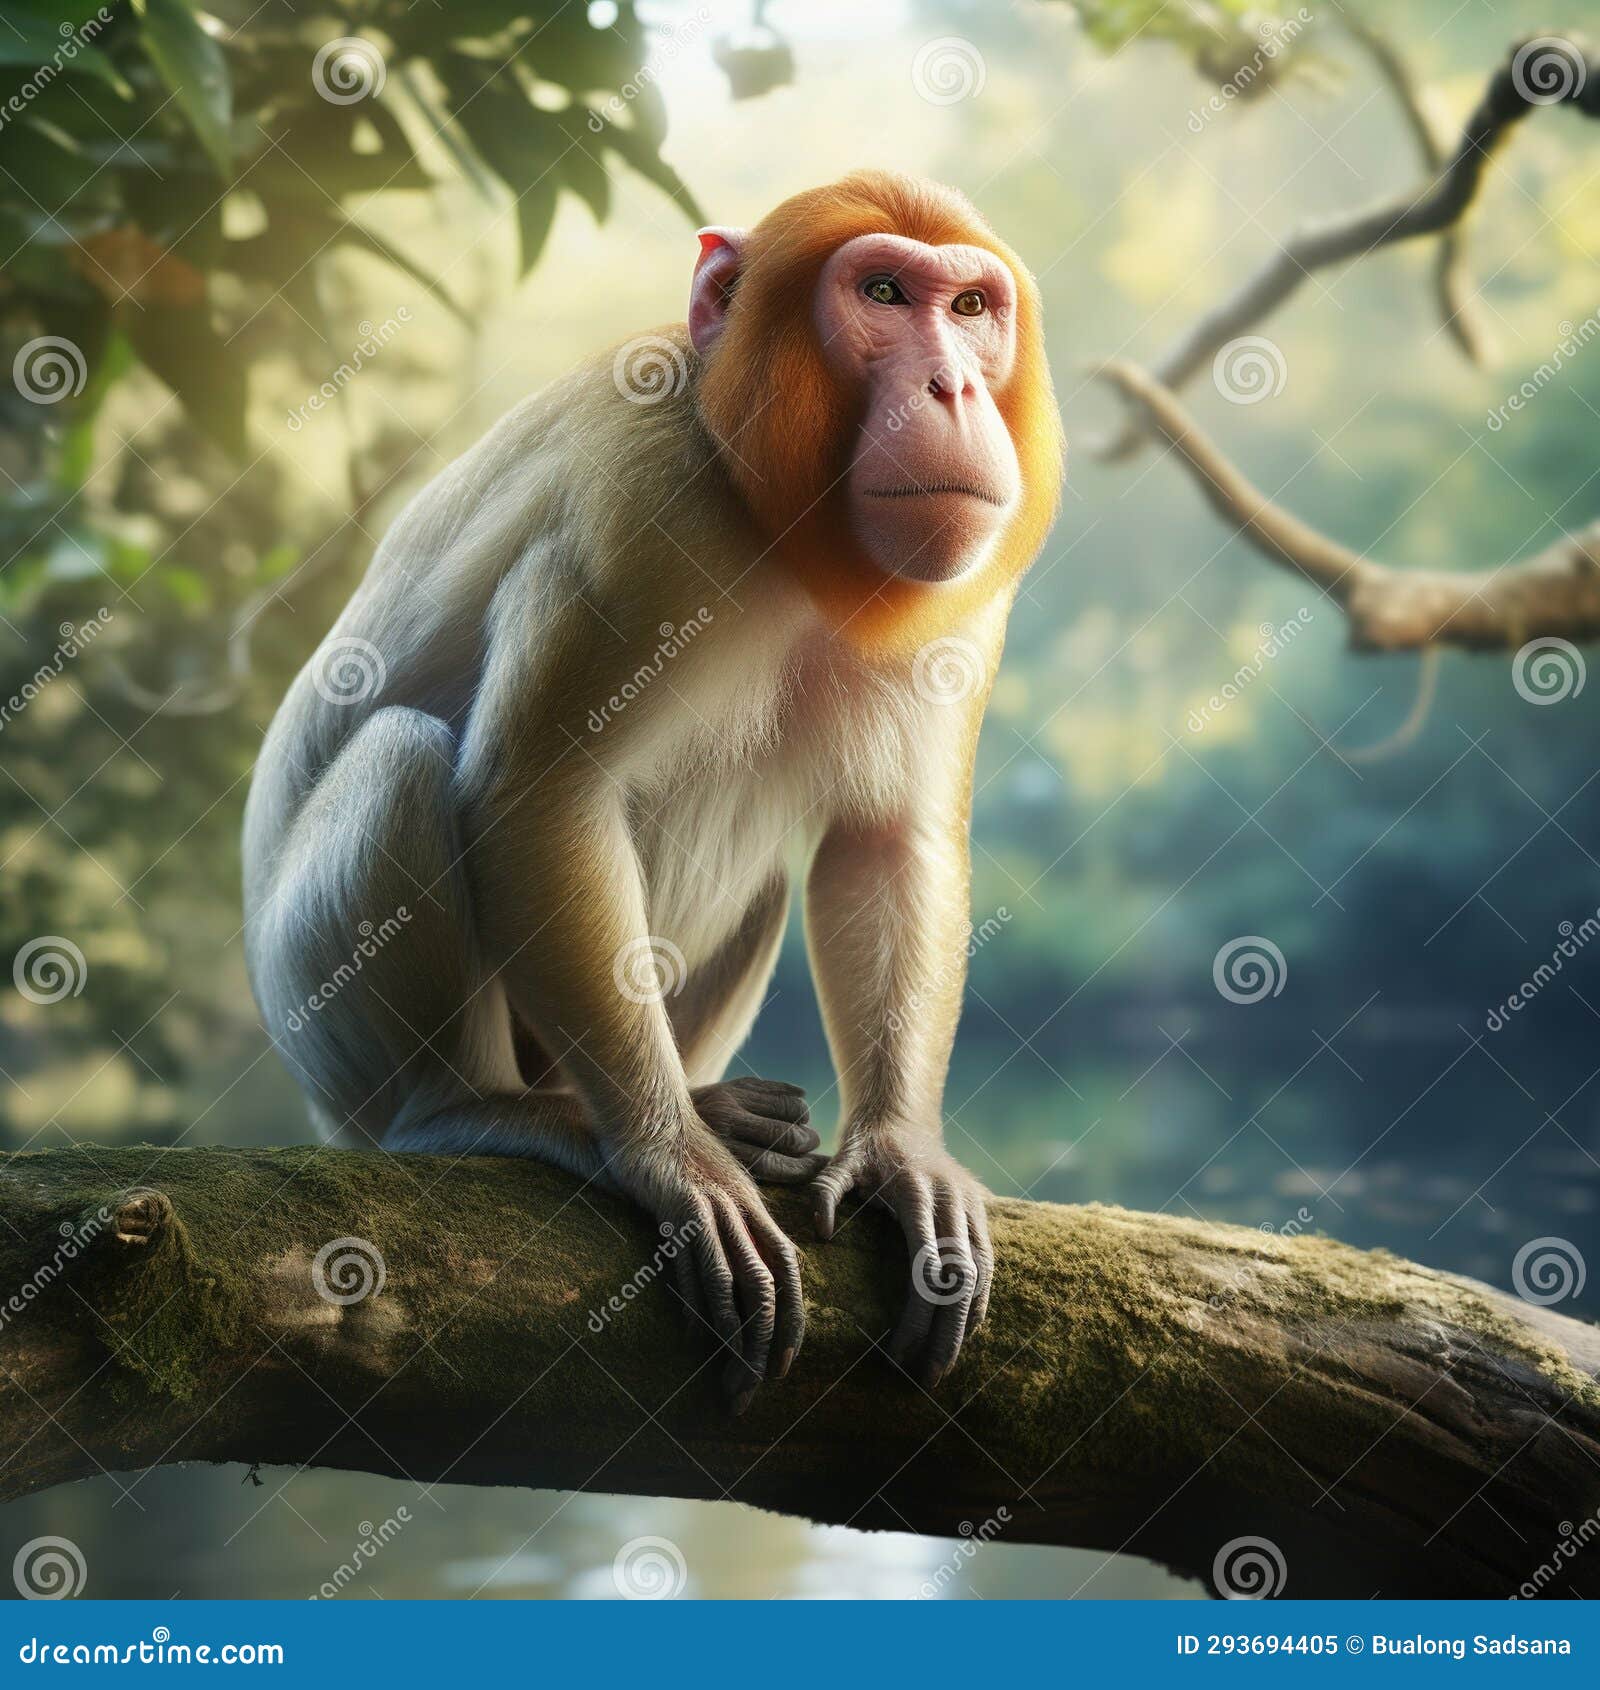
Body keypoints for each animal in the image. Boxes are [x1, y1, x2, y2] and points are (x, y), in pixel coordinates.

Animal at [242, 170, 1064, 1410]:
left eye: (970, 306)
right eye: (882, 294)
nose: (955, 385)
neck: (777, 513)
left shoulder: (963, 581)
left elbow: (887, 838)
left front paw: (900, 1149)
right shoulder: (642, 507)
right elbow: (538, 793)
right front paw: (669, 1157)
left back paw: (707, 1100)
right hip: (319, 1029)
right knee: (404, 756)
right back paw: (481, 1107)